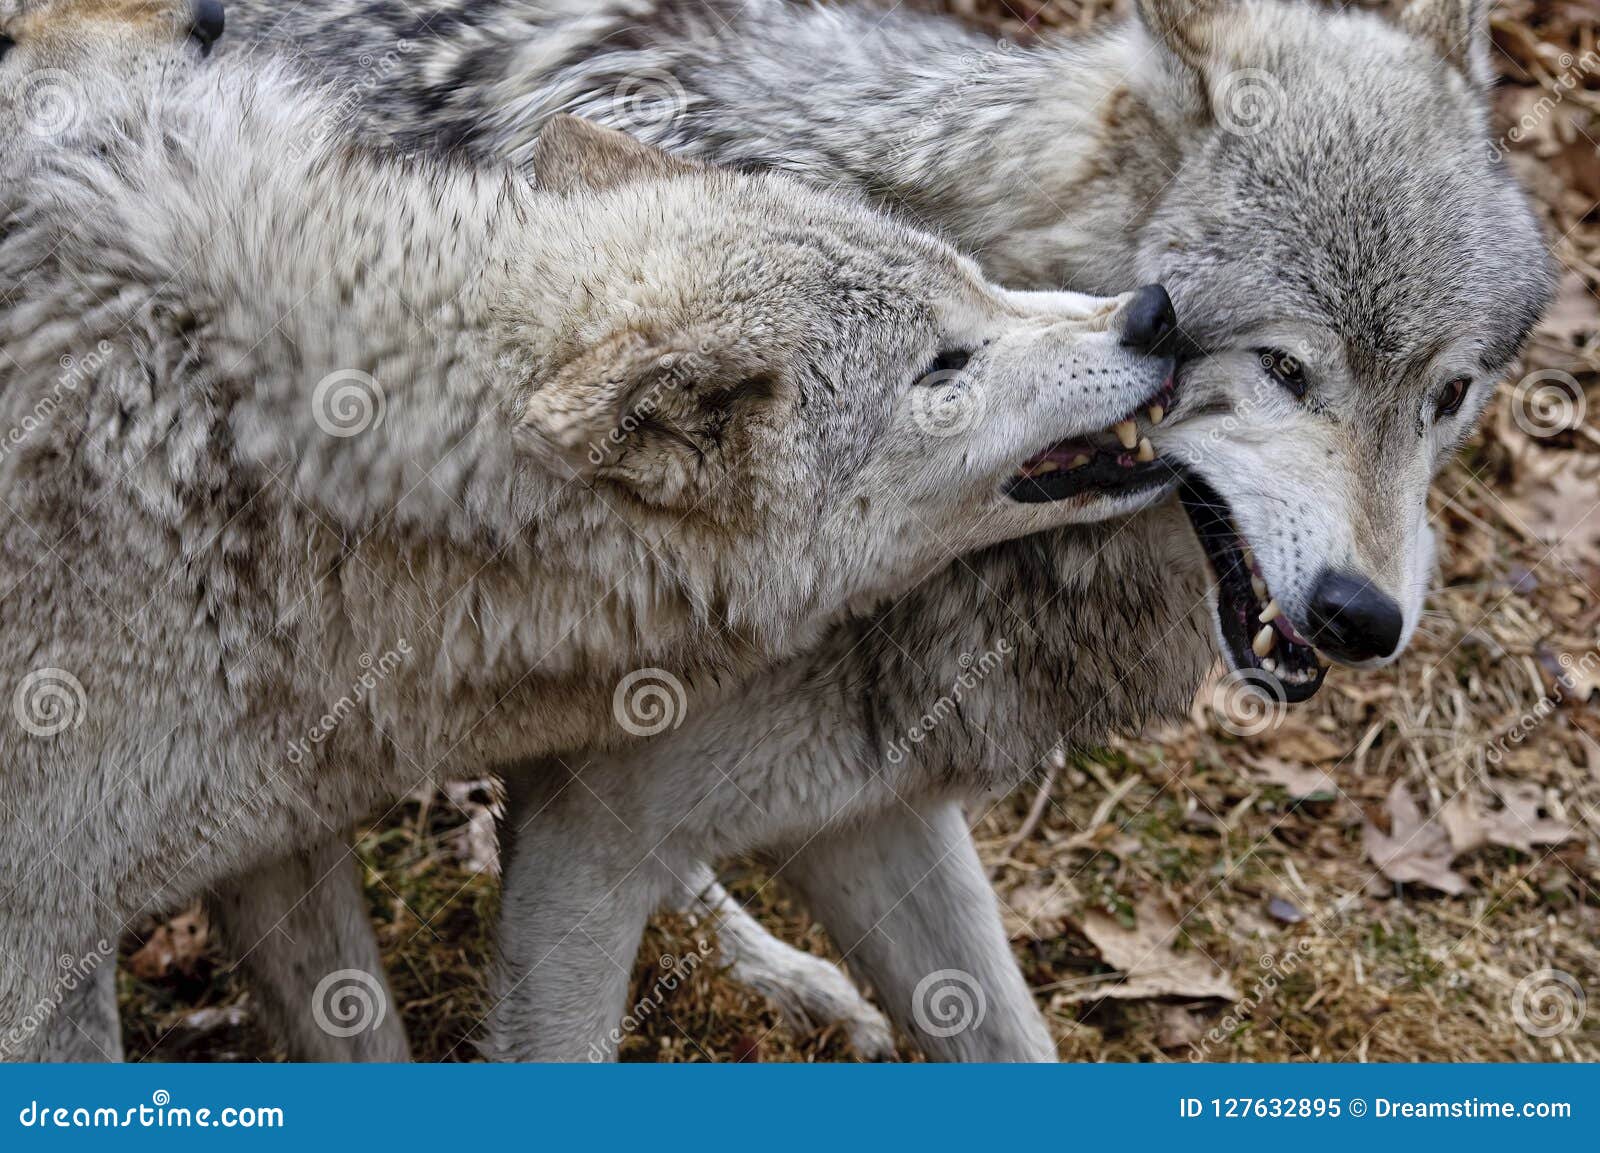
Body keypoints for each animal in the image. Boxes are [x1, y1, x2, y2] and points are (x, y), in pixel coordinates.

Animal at [187, 0, 1551, 1061]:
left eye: (1447, 393)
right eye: (1283, 368)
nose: (1363, 617)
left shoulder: (870, 806)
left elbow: (1003, 1031)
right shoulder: (605, 827)